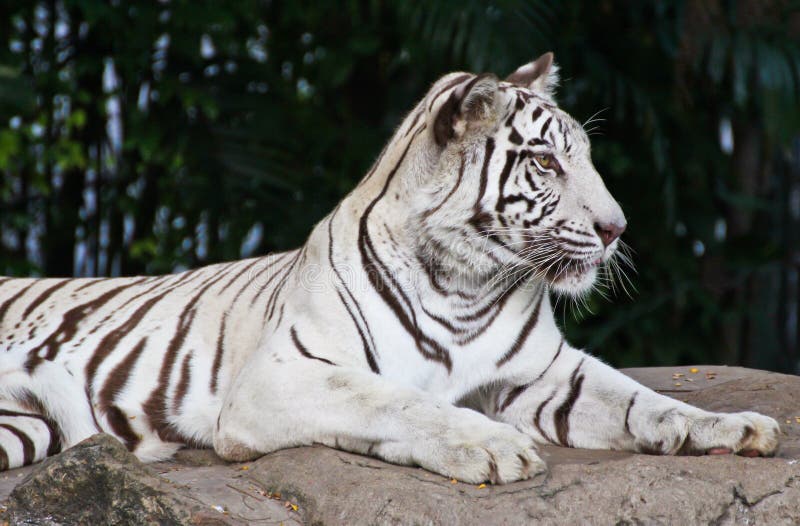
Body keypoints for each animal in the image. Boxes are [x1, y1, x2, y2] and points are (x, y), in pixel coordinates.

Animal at [0, 53, 780, 483]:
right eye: (545, 163)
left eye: (583, 157)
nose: (617, 229)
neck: (468, 282)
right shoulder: (280, 377)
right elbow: (396, 399)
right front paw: (493, 447)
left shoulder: (545, 374)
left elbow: (644, 399)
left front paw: (734, 426)